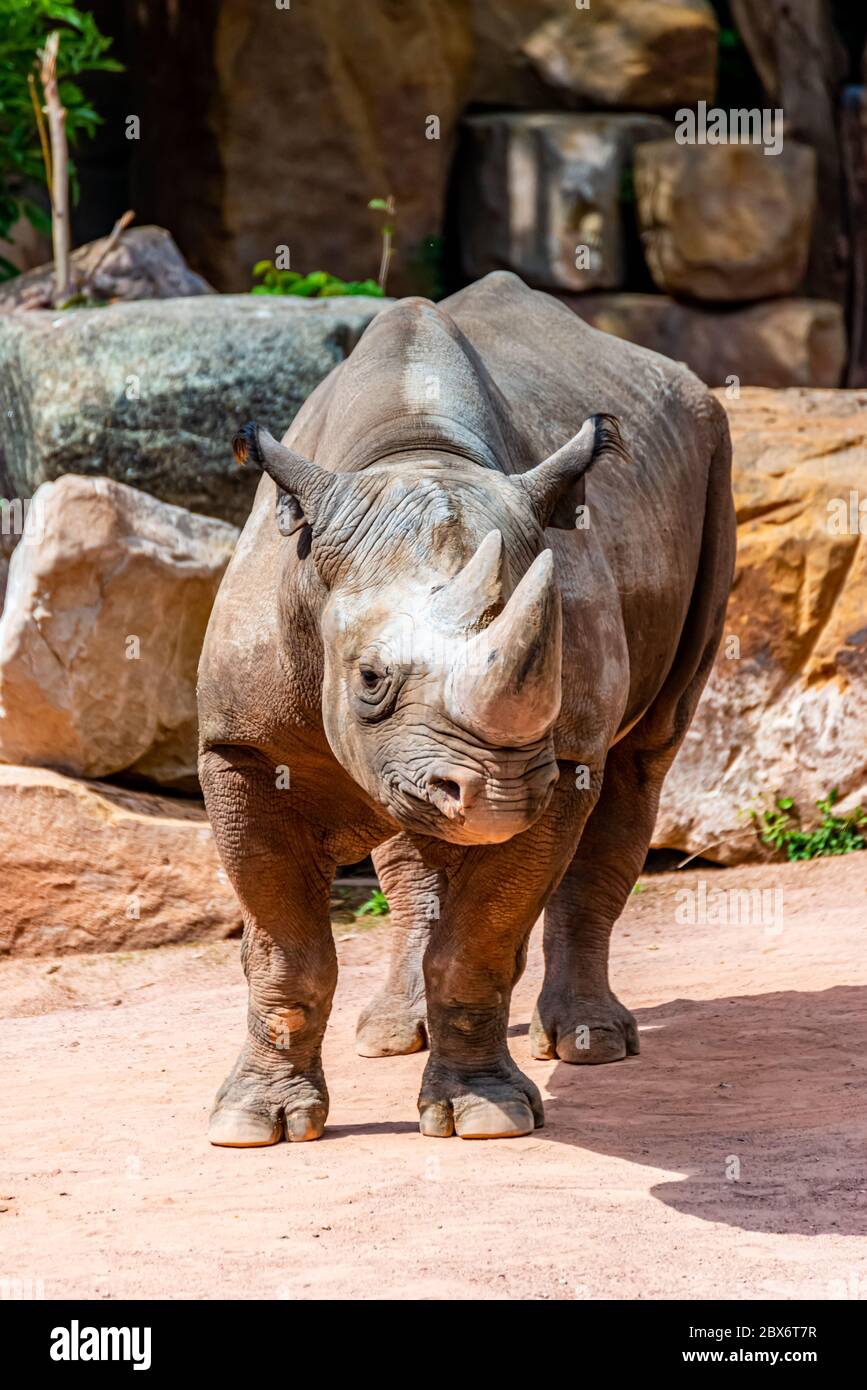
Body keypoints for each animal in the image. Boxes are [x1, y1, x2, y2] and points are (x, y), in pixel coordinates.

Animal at [198, 271, 735, 1145]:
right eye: (368, 679)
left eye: (553, 662)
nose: (497, 794)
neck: (412, 453)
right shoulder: (241, 746)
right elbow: (285, 946)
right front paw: (254, 1124)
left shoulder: (558, 757)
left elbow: (481, 940)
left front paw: (485, 1117)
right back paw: (390, 1034)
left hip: (714, 457)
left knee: (642, 760)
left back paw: (589, 1044)